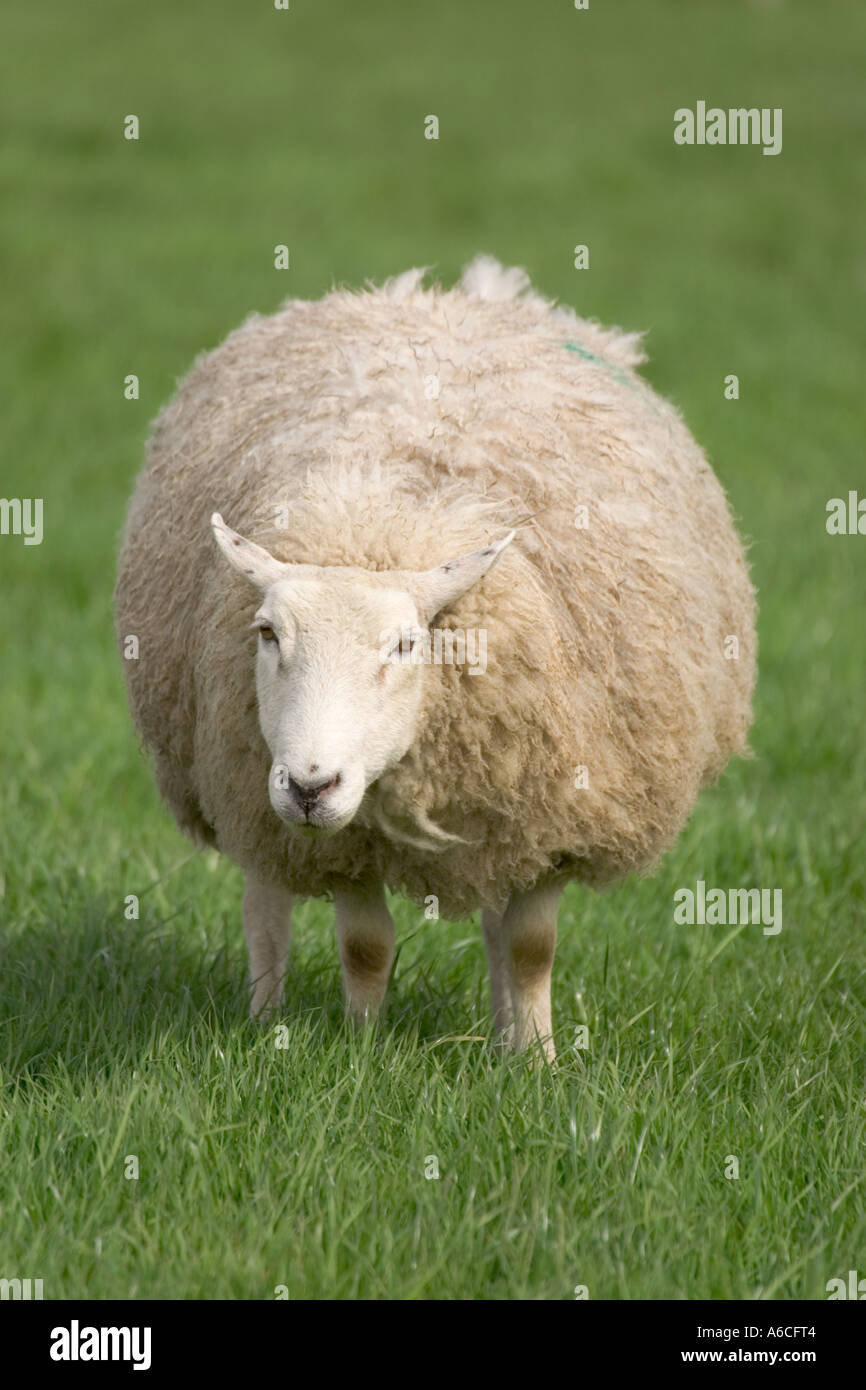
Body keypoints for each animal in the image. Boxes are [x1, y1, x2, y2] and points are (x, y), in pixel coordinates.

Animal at [115, 255, 756, 1060]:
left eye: (404, 644)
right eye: (266, 633)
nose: (310, 785)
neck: (390, 518)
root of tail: (448, 293)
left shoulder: (549, 812)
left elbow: (529, 947)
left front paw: (536, 1060)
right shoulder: (337, 838)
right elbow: (365, 948)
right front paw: (360, 1051)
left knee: (494, 924)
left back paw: (504, 1033)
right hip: (244, 793)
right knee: (265, 903)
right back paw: (264, 1019)